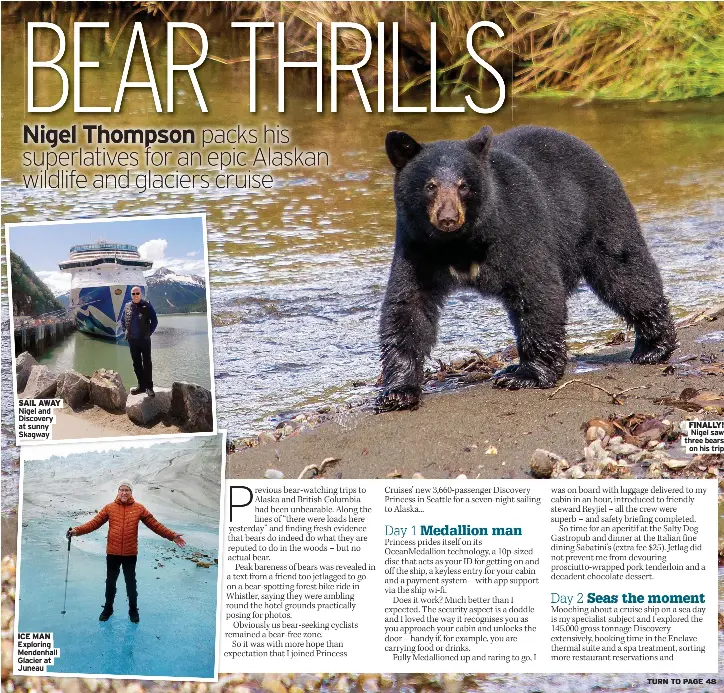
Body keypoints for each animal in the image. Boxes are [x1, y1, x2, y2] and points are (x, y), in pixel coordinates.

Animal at [376, 125, 677, 412]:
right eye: (430, 185)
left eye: (464, 186)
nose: (448, 218)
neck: (459, 244)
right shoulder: (417, 246)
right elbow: (408, 305)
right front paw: (397, 392)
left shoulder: (517, 226)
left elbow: (536, 288)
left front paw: (527, 375)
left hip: (600, 215)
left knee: (626, 274)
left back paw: (653, 347)